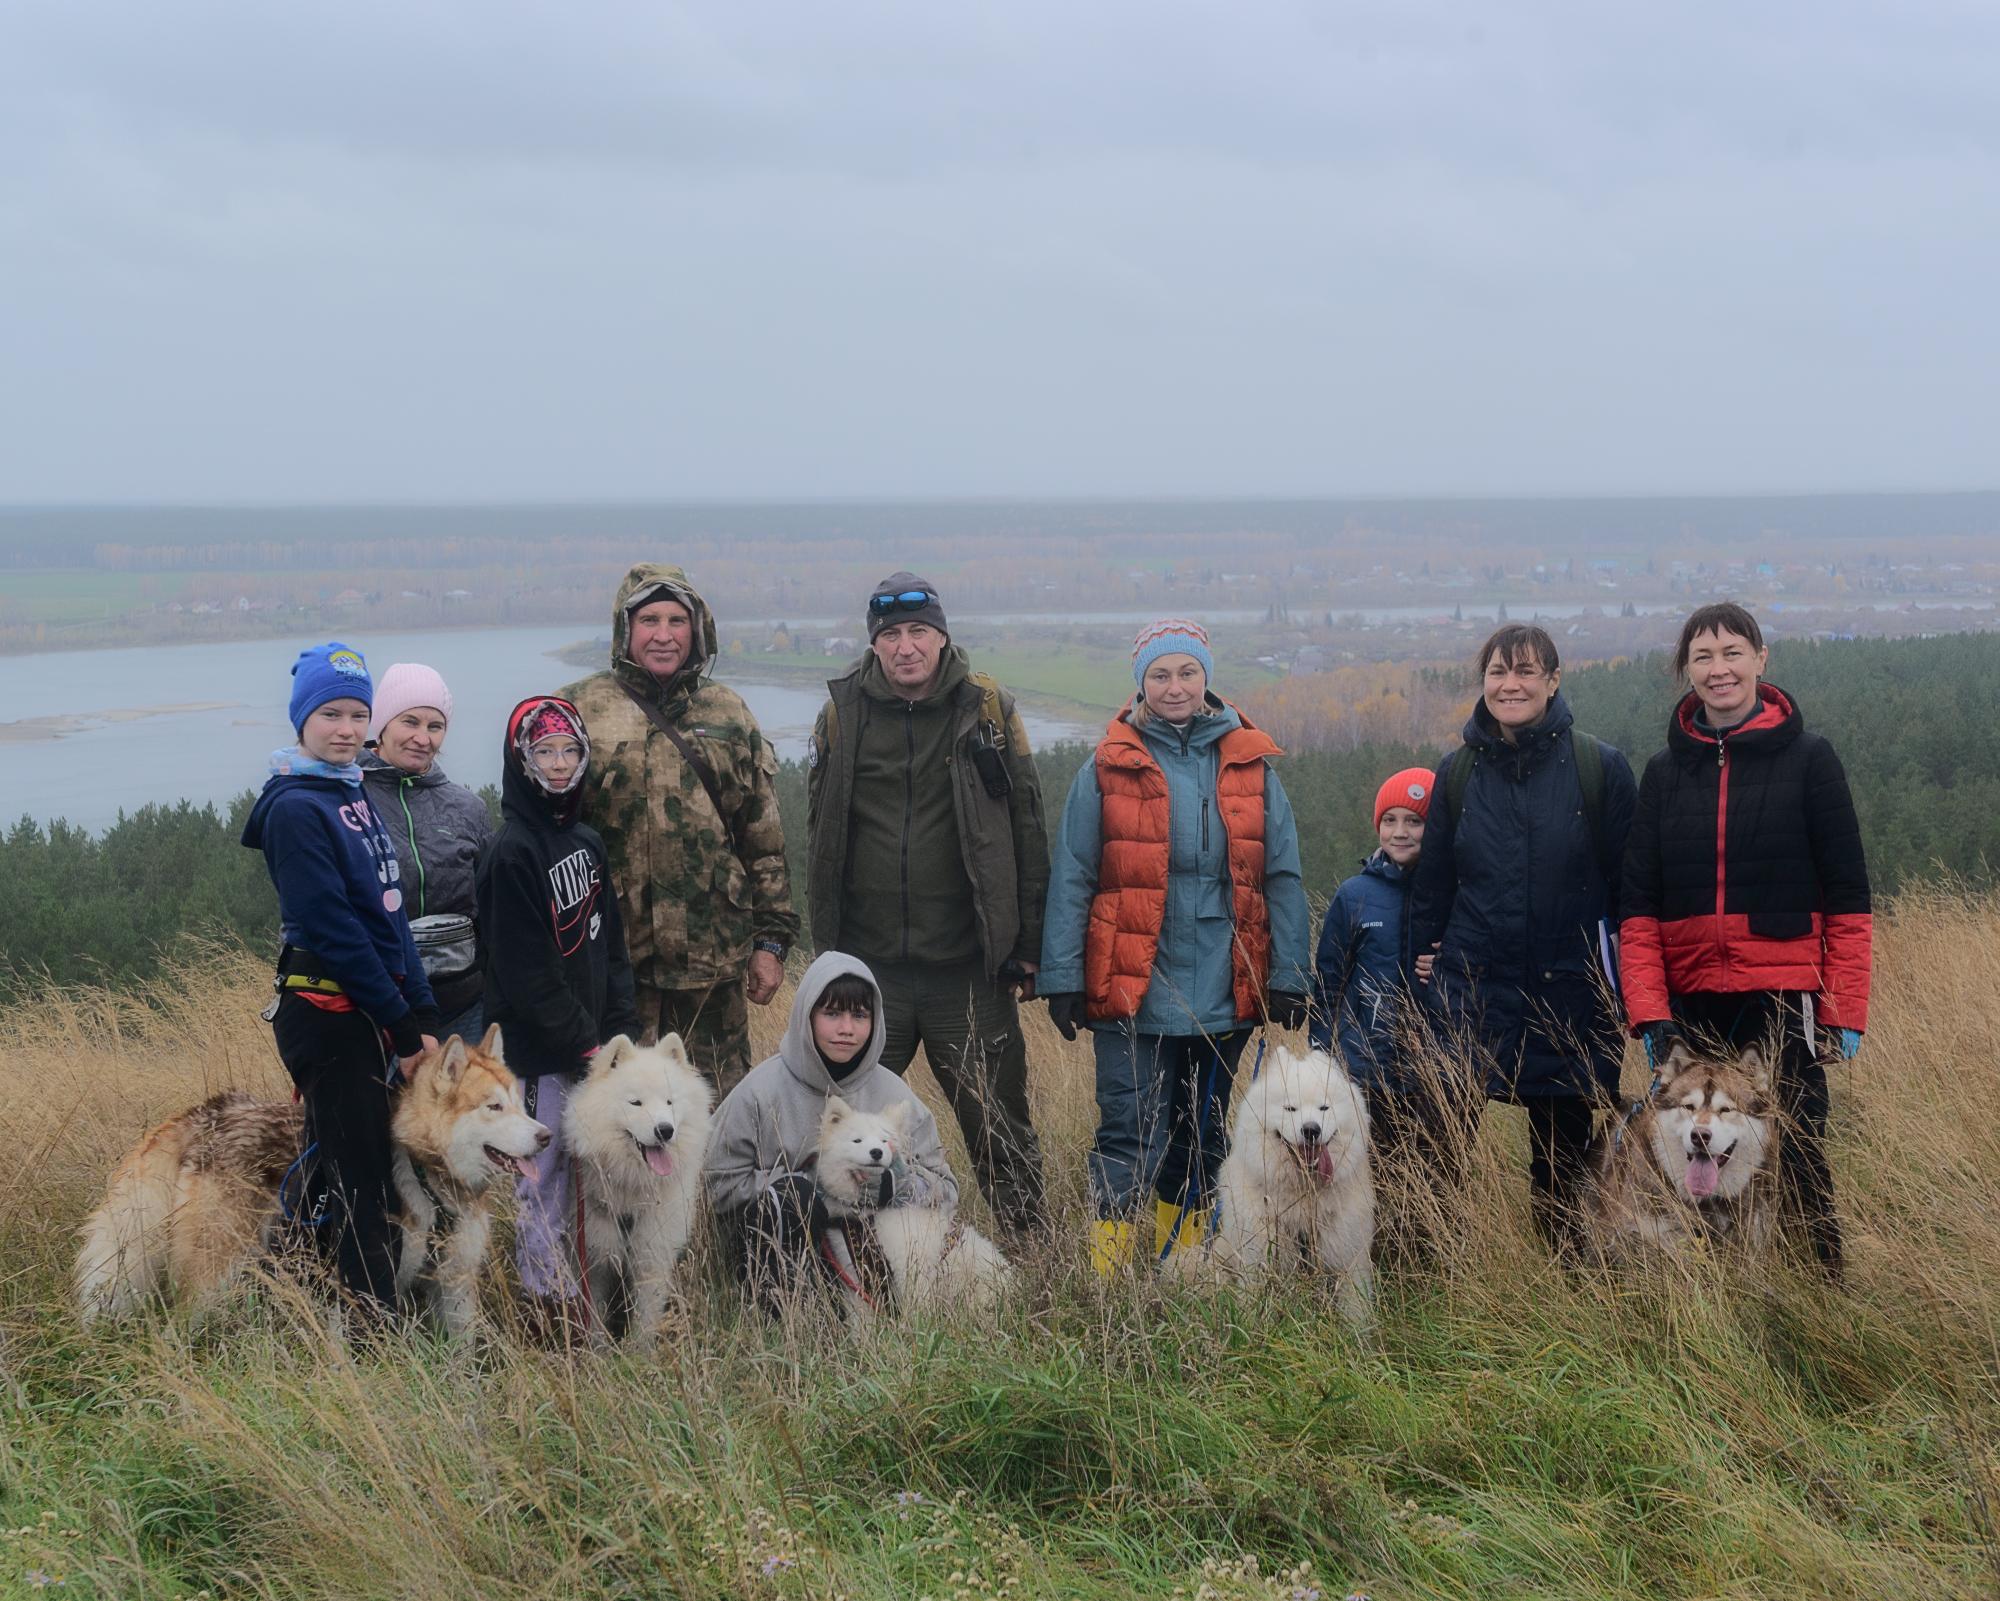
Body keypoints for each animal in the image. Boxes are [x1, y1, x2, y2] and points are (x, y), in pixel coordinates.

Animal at [77, 1020, 548, 1328]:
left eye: (518, 1101)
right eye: (493, 1107)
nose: (545, 1136)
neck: (428, 1177)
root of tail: (210, 1112)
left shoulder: (454, 1288)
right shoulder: (358, 1284)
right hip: (215, 1275)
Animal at [808, 1096, 1008, 1320]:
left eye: (884, 1140)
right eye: (857, 1140)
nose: (876, 1152)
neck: (870, 1216)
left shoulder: (908, 1266)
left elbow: (915, 1307)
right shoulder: (855, 1276)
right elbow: (861, 1317)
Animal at [1184, 1040, 1376, 1328]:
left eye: (1324, 1108)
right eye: (1290, 1109)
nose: (1311, 1130)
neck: (1303, 1198)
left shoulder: (1350, 1258)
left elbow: (1354, 1311)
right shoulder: (1258, 1261)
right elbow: (1253, 1306)